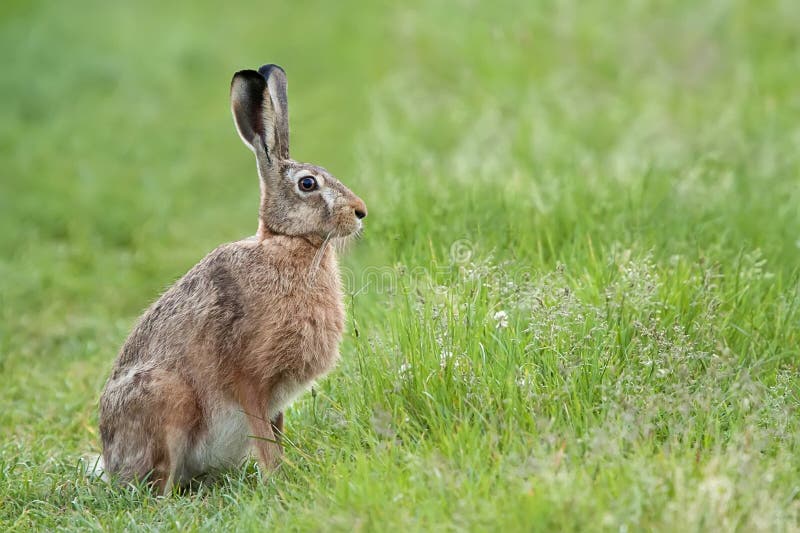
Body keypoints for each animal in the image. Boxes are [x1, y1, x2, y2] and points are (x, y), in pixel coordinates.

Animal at [97, 64, 367, 493]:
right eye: (308, 183)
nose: (360, 212)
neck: (285, 242)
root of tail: (111, 464)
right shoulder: (250, 379)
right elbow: (265, 439)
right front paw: (279, 481)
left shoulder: (277, 399)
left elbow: (276, 433)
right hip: (166, 397)